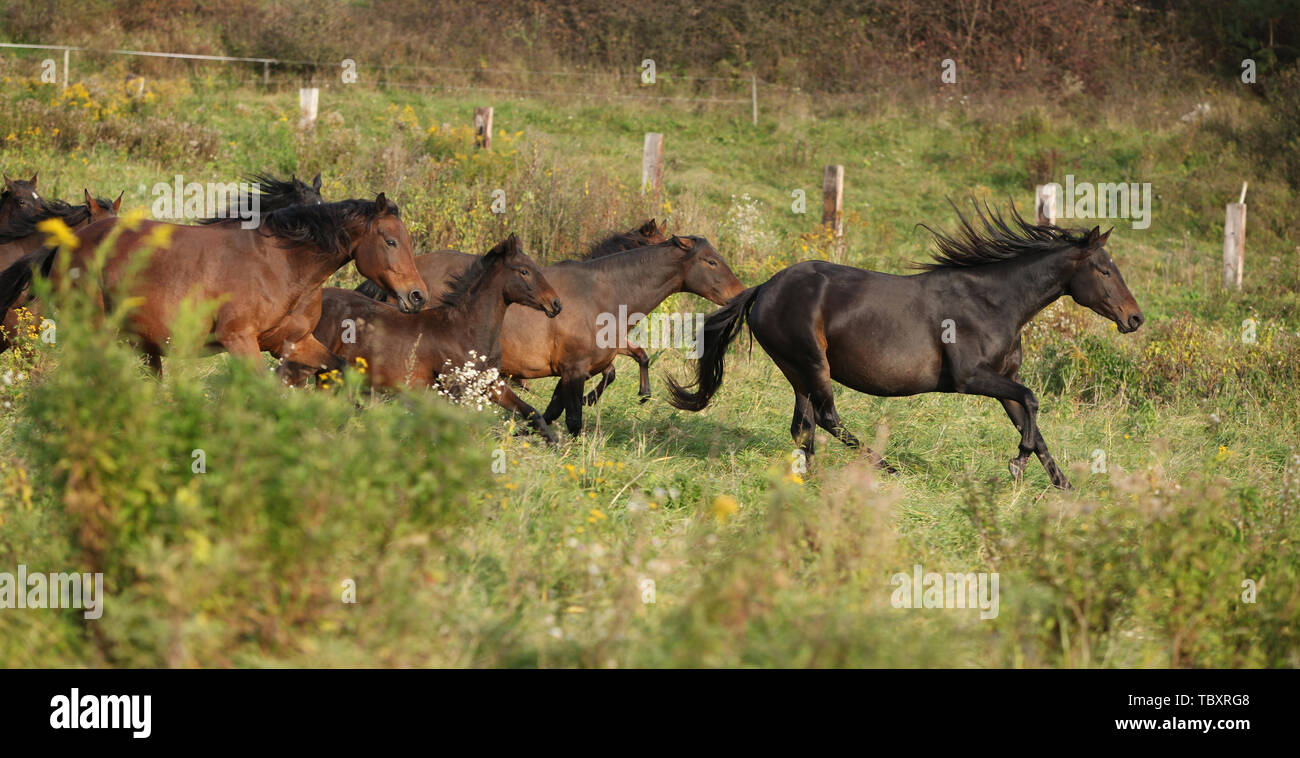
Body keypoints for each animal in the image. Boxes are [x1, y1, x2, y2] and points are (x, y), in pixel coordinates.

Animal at [0, 195, 428, 376]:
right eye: (391, 241)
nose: (418, 295)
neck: (282, 265)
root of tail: (68, 244)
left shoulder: (294, 344)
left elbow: (340, 368)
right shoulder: (238, 340)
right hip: (95, 328)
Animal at [313, 234, 563, 443]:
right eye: (524, 271)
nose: (556, 304)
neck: (465, 329)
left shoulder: (490, 383)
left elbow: (531, 412)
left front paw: (555, 445)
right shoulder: (453, 388)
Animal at [667, 202, 1144, 490]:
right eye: (1104, 270)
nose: (1135, 318)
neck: (993, 301)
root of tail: (764, 287)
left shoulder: (1002, 380)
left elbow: (1032, 421)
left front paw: (1063, 485)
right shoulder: (971, 378)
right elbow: (1031, 401)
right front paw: (1016, 465)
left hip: (795, 370)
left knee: (803, 425)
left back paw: (812, 477)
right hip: (812, 362)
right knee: (826, 416)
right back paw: (886, 468)